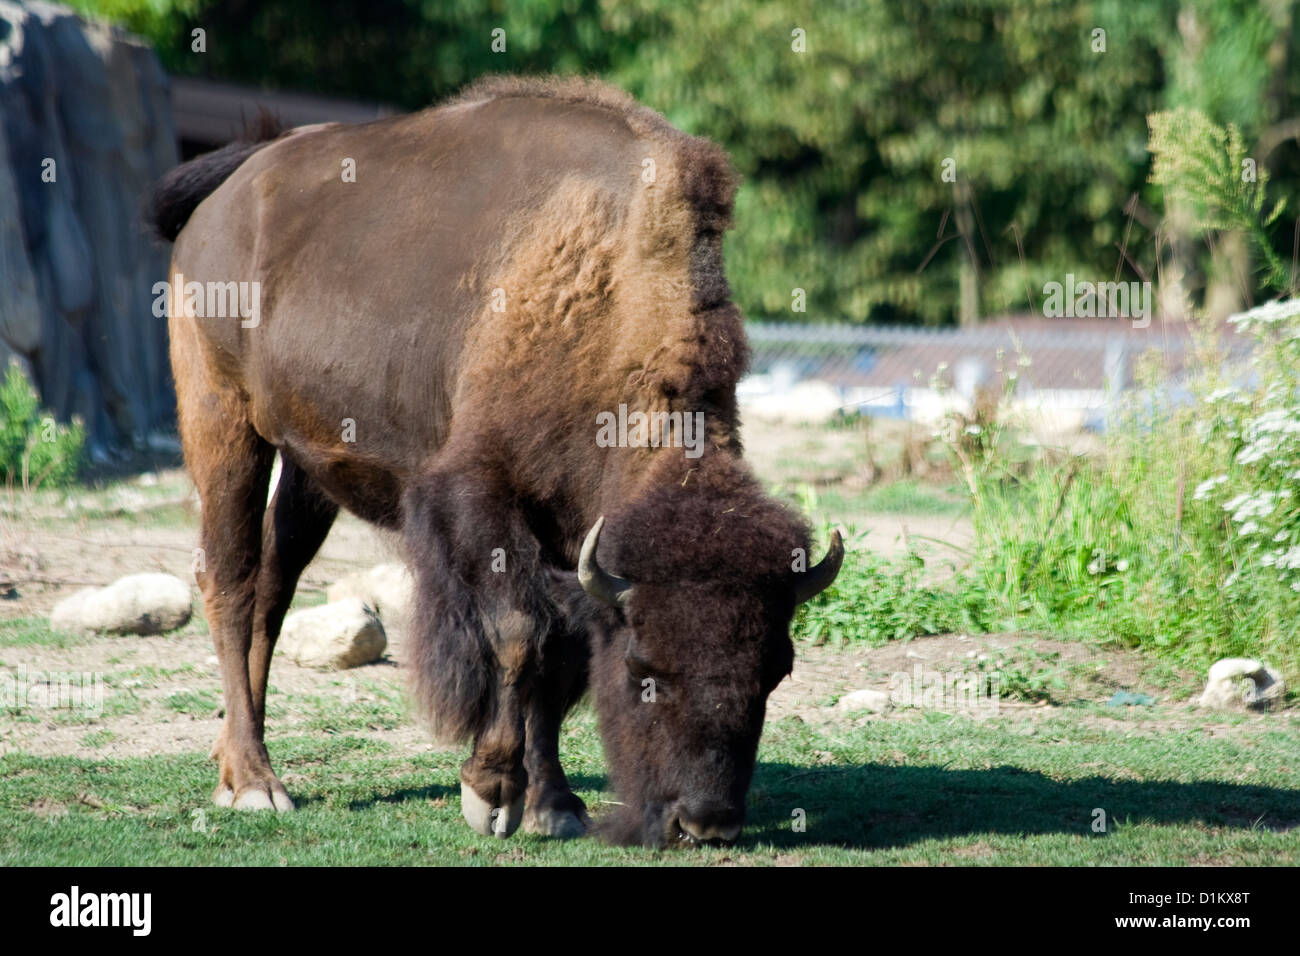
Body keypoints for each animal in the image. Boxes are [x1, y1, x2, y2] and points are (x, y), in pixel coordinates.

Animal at [147, 75, 843, 847]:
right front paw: (492, 789)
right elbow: (517, 635)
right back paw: (254, 784)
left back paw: (238, 762)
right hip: (222, 420)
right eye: (644, 667)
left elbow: (561, 656)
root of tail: (230, 190)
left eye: (777, 670)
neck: (607, 286)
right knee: (230, 584)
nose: (706, 822)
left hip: (308, 467)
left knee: (274, 587)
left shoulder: (573, 536)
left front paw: (555, 805)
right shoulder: (481, 498)